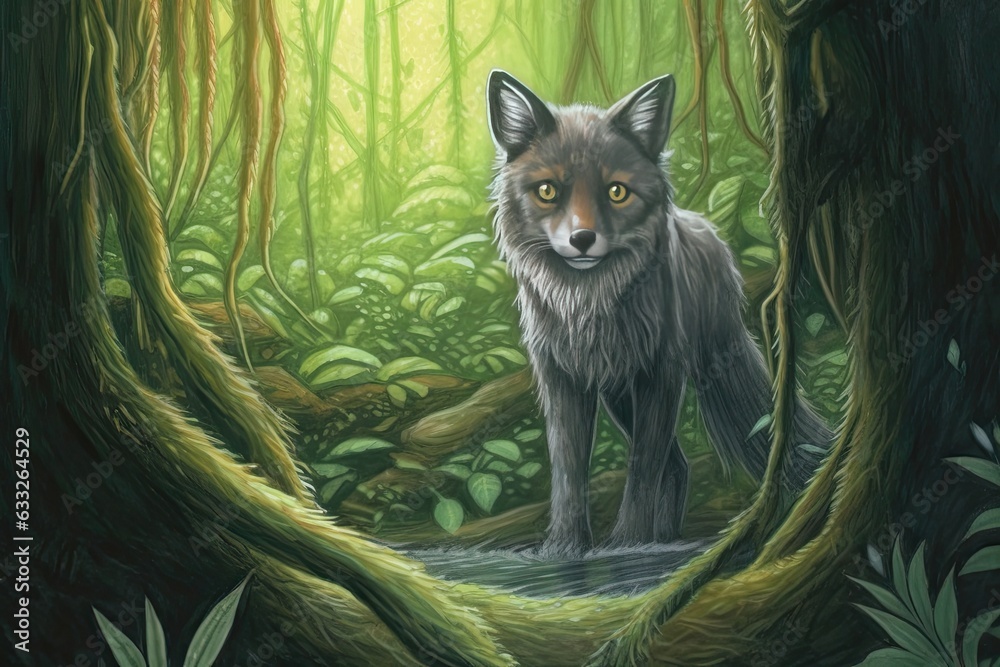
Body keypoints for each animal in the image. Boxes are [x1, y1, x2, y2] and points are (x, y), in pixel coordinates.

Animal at [485, 70, 832, 556]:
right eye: (548, 191)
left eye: (616, 192)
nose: (582, 239)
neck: (588, 306)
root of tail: (709, 234)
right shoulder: (563, 378)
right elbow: (569, 470)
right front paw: (565, 547)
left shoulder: (660, 372)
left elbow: (642, 468)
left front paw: (626, 541)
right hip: (617, 396)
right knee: (678, 465)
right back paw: (664, 536)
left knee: (669, 464)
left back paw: (656, 539)